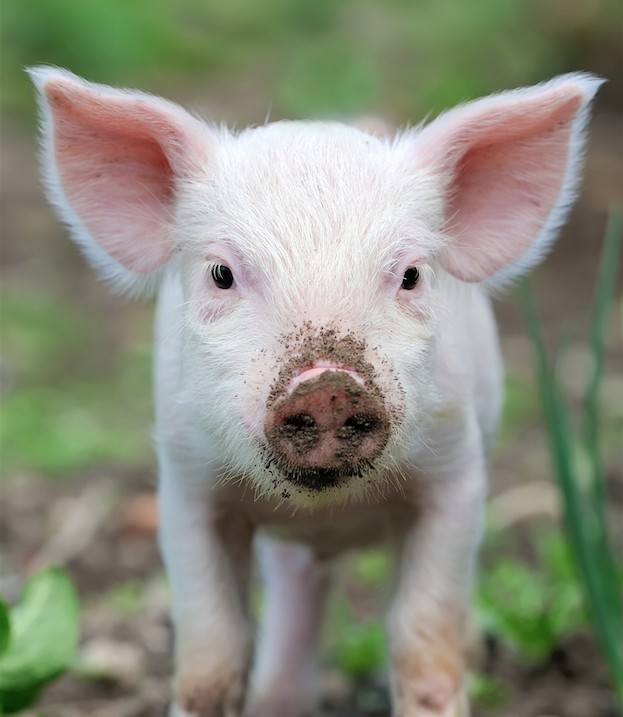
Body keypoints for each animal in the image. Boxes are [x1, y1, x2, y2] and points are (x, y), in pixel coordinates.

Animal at [29, 67, 601, 717]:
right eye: (221, 273)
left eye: (411, 275)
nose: (328, 385)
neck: (332, 509)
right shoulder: (186, 482)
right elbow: (211, 653)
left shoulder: (457, 473)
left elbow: (422, 642)